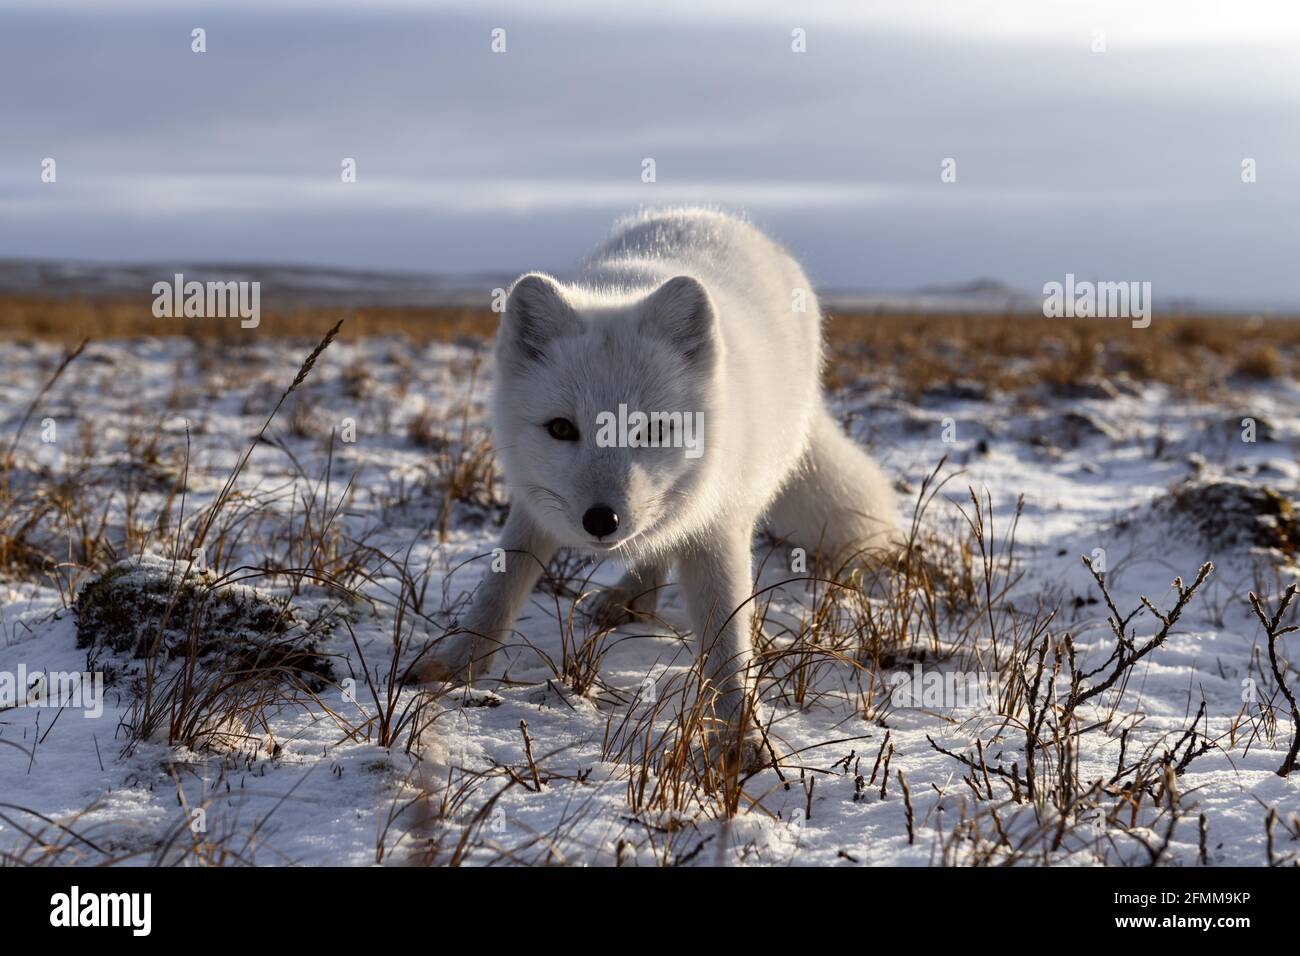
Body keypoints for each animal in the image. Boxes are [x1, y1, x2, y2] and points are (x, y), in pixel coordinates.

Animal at [413, 208, 901, 758]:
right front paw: (458, 664)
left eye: (651, 430)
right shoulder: (534, 505)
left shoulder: (719, 525)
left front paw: (738, 735)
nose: (601, 520)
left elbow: (728, 644)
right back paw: (628, 597)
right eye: (561, 428)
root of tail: (719, 216)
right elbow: (499, 586)